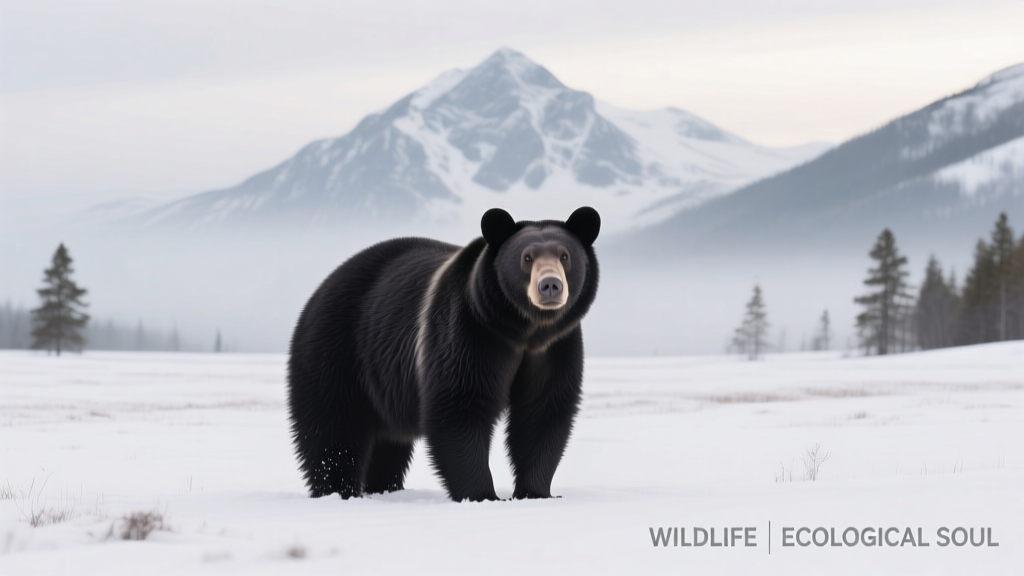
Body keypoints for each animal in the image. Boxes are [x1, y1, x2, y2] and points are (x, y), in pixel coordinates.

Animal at [287, 206, 600, 502]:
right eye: (526, 257)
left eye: (565, 256)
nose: (550, 285)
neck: (523, 330)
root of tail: (321, 288)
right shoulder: (470, 331)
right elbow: (461, 404)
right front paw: (481, 493)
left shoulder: (555, 348)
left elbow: (543, 411)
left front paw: (535, 490)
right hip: (338, 350)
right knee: (333, 429)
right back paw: (338, 490)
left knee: (388, 441)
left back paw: (385, 486)